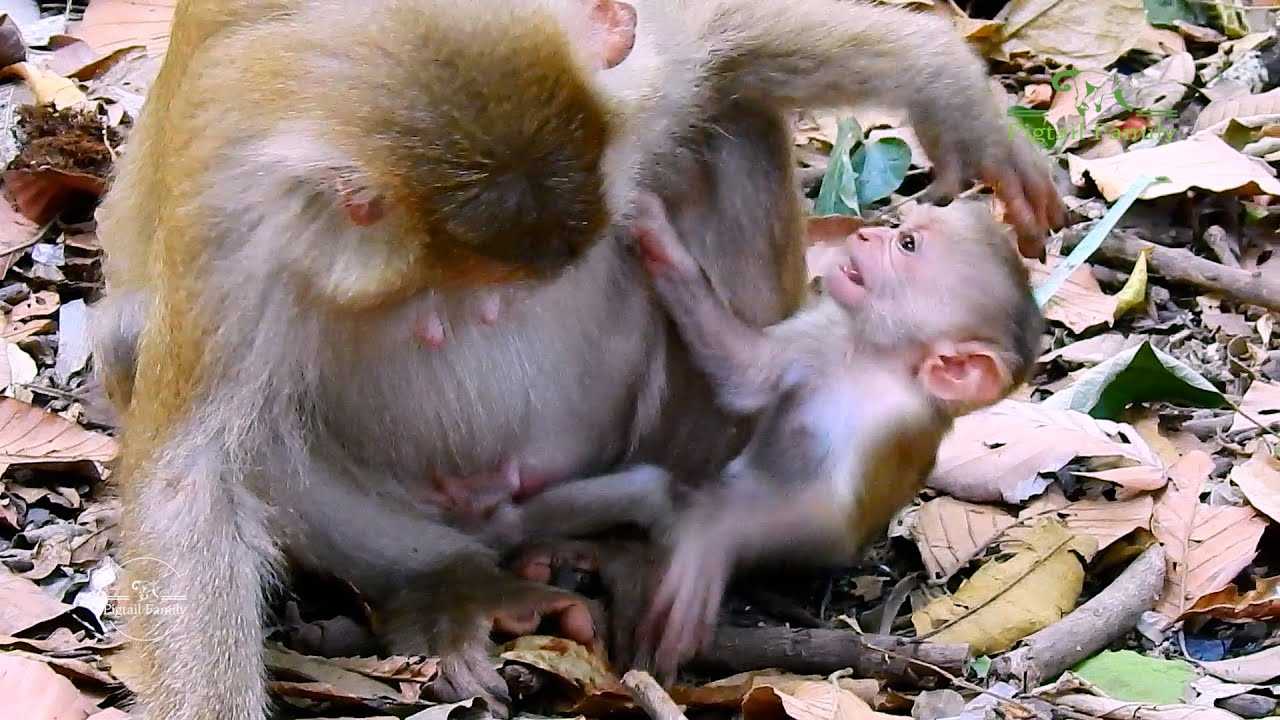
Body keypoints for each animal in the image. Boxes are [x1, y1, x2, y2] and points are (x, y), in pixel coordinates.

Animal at [622, 193, 1044, 679]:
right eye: (901, 230)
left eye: (908, 244)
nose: (866, 233)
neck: (868, 358)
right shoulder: (823, 330)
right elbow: (747, 373)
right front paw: (665, 249)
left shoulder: (887, 422)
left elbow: (827, 520)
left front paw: (714, 533)